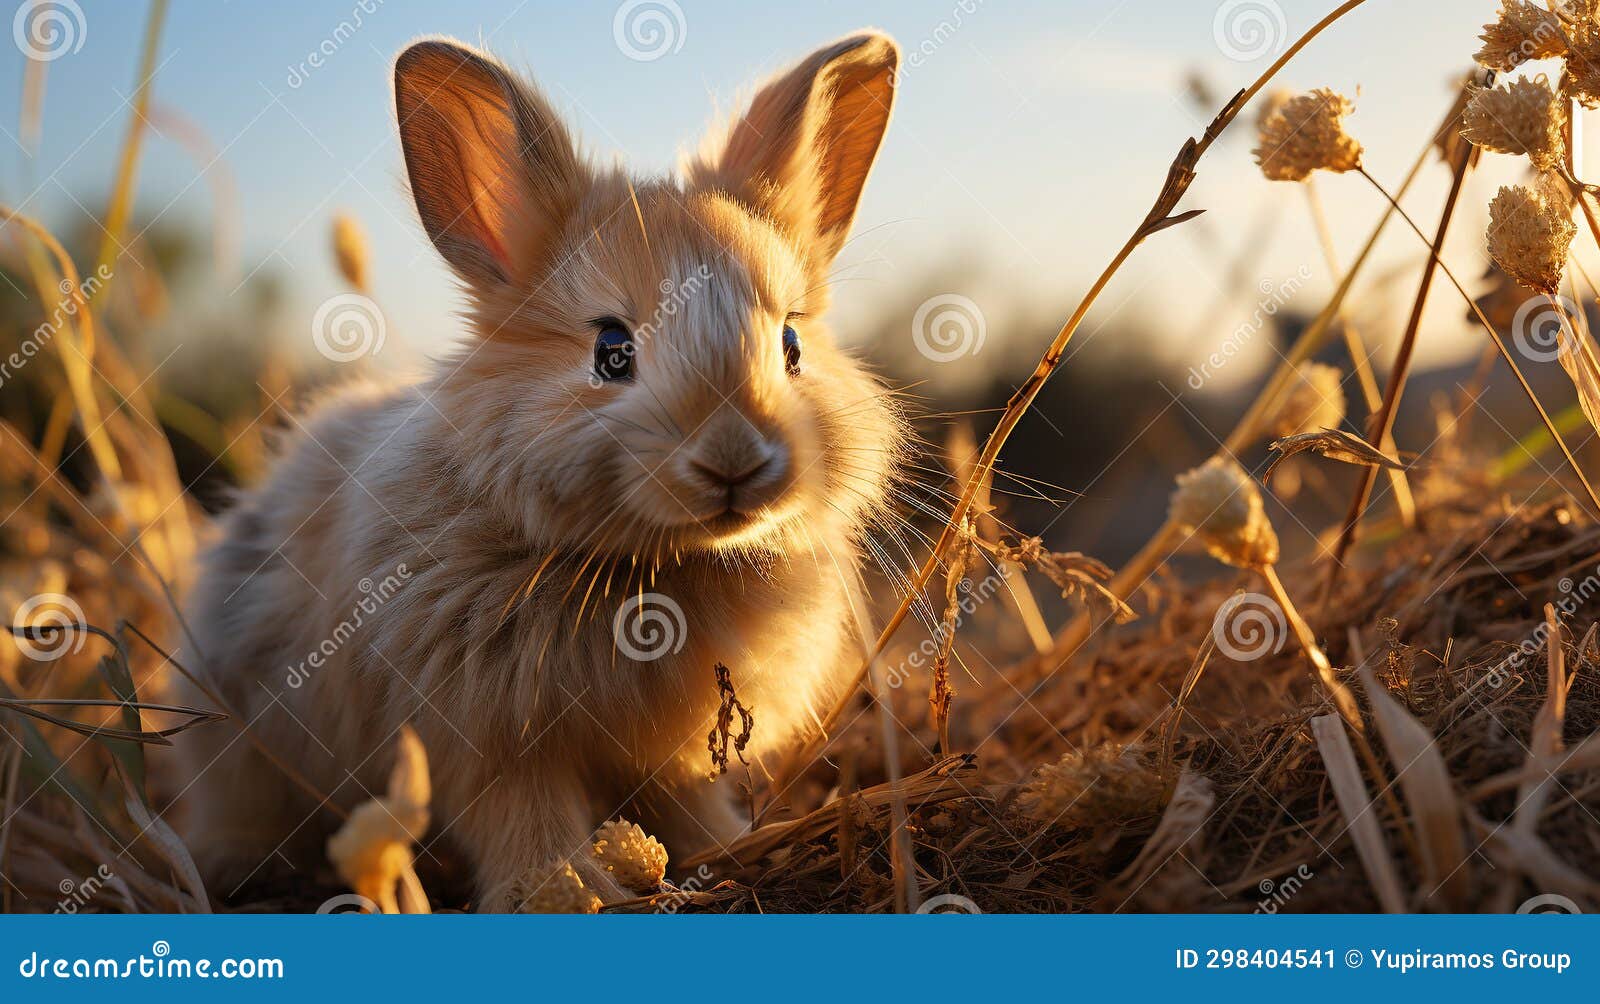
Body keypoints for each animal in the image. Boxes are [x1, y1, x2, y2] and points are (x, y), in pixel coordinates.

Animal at [172, 30, 905, 910]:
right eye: (611, 350)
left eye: (792, 344)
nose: (735, 458)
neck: (657, 568)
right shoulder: (490, 745)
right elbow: (524, 819)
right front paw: (568, 890)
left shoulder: (664, 761)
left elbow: (683, 807)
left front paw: (721, 849)